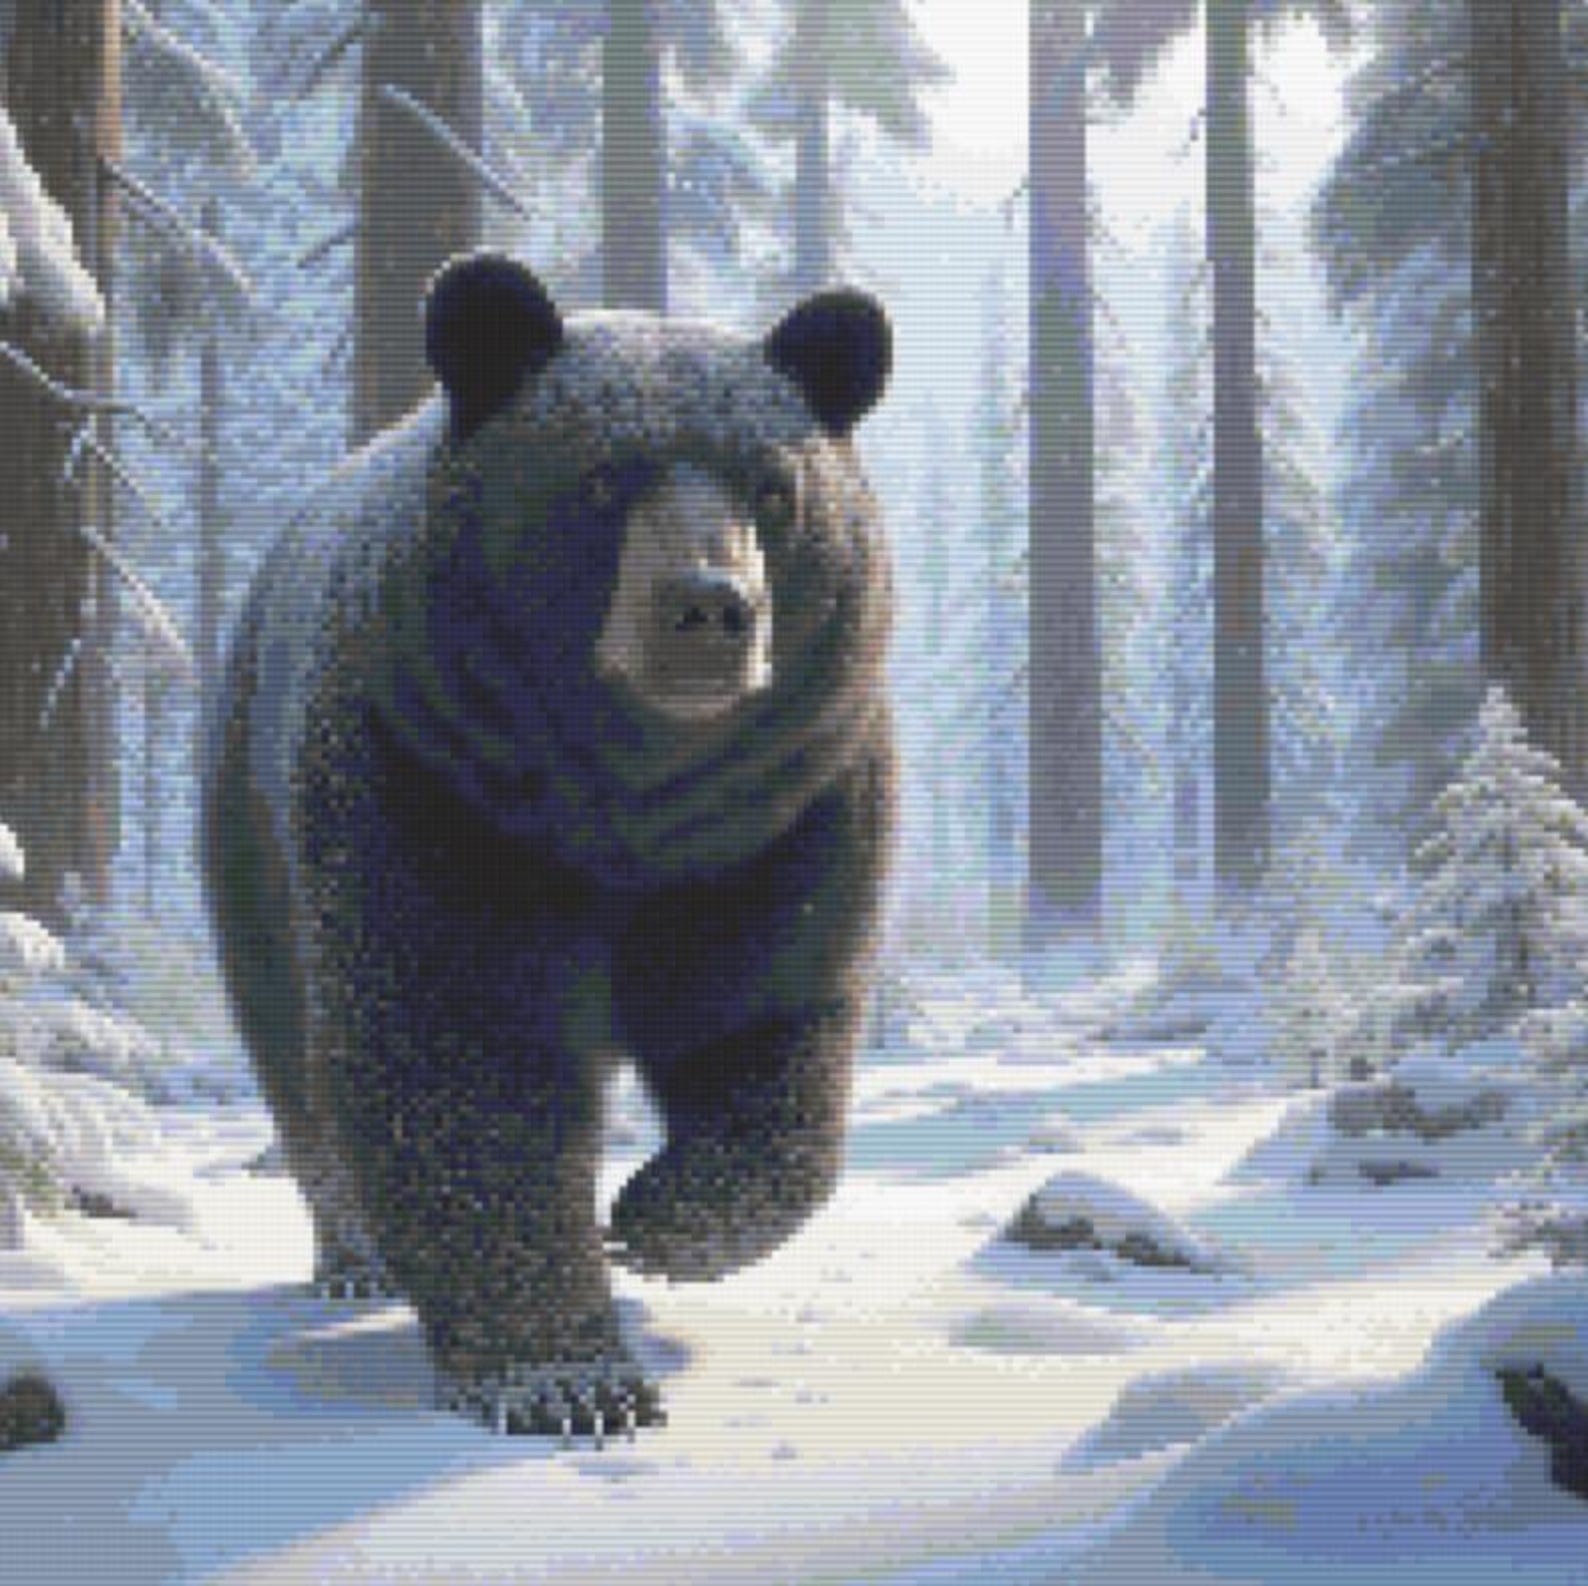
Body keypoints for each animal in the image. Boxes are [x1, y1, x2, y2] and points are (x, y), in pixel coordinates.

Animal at [200, 253, 894, 1438]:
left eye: (771, 487)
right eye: (605, 479)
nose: (709, 608)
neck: (621, 786)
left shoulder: (784, 799)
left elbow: (762, 1006)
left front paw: (662, 1221)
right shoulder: (429, 777)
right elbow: (459, 1049)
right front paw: (565, 1376)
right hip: (252, 825)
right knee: (293, 1042)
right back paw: (356, 1253)